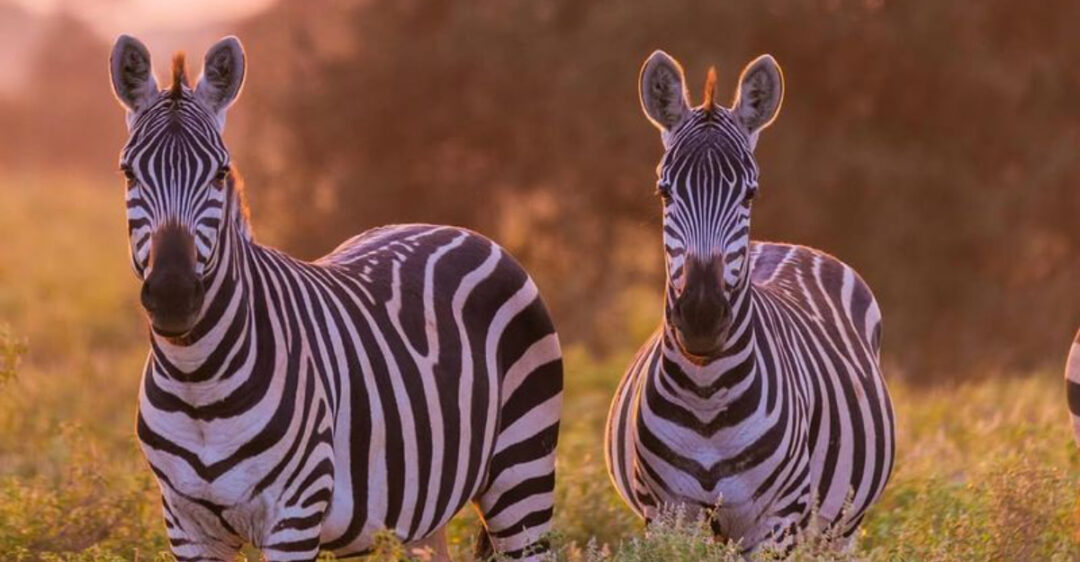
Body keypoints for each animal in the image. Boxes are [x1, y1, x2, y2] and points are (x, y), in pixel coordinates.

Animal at [109, 35, 563, 561]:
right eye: (128, 174)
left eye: (220, 174)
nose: (174, 295)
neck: (197, 382)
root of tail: (462, 230)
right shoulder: (185, 523)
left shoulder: (295, 513)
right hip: (424, 510)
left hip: (523, 473)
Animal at [604, 51, 895, 552]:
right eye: (664, 191)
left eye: (749, 192)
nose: (701, 319)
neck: (705, 395)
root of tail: (780, 245)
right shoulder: (666, 515)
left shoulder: (778, 521)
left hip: (839, 528)